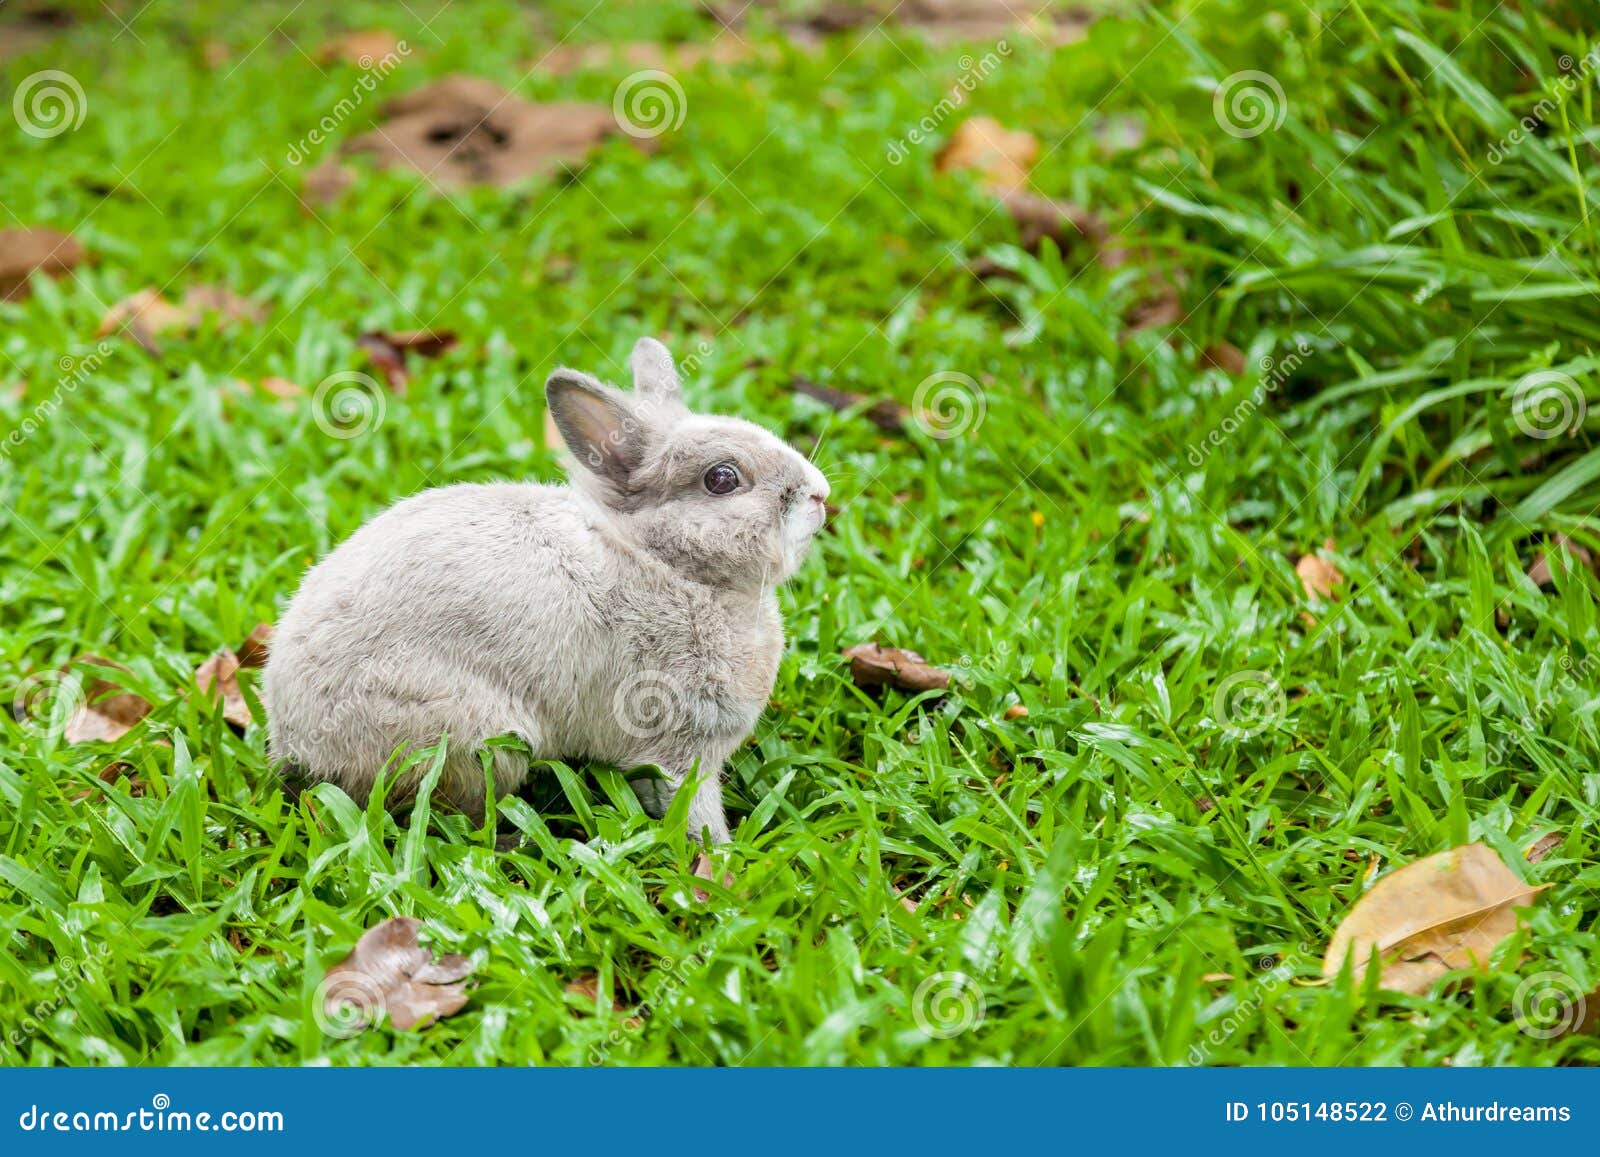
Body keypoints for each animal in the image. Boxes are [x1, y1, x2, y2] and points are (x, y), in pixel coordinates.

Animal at [262, 337, 830, 844]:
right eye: (722, 479)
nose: (820, 494)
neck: (670, 564)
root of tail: (294, 742)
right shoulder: (673, 743)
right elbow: (689, 806)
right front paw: (718, 856)